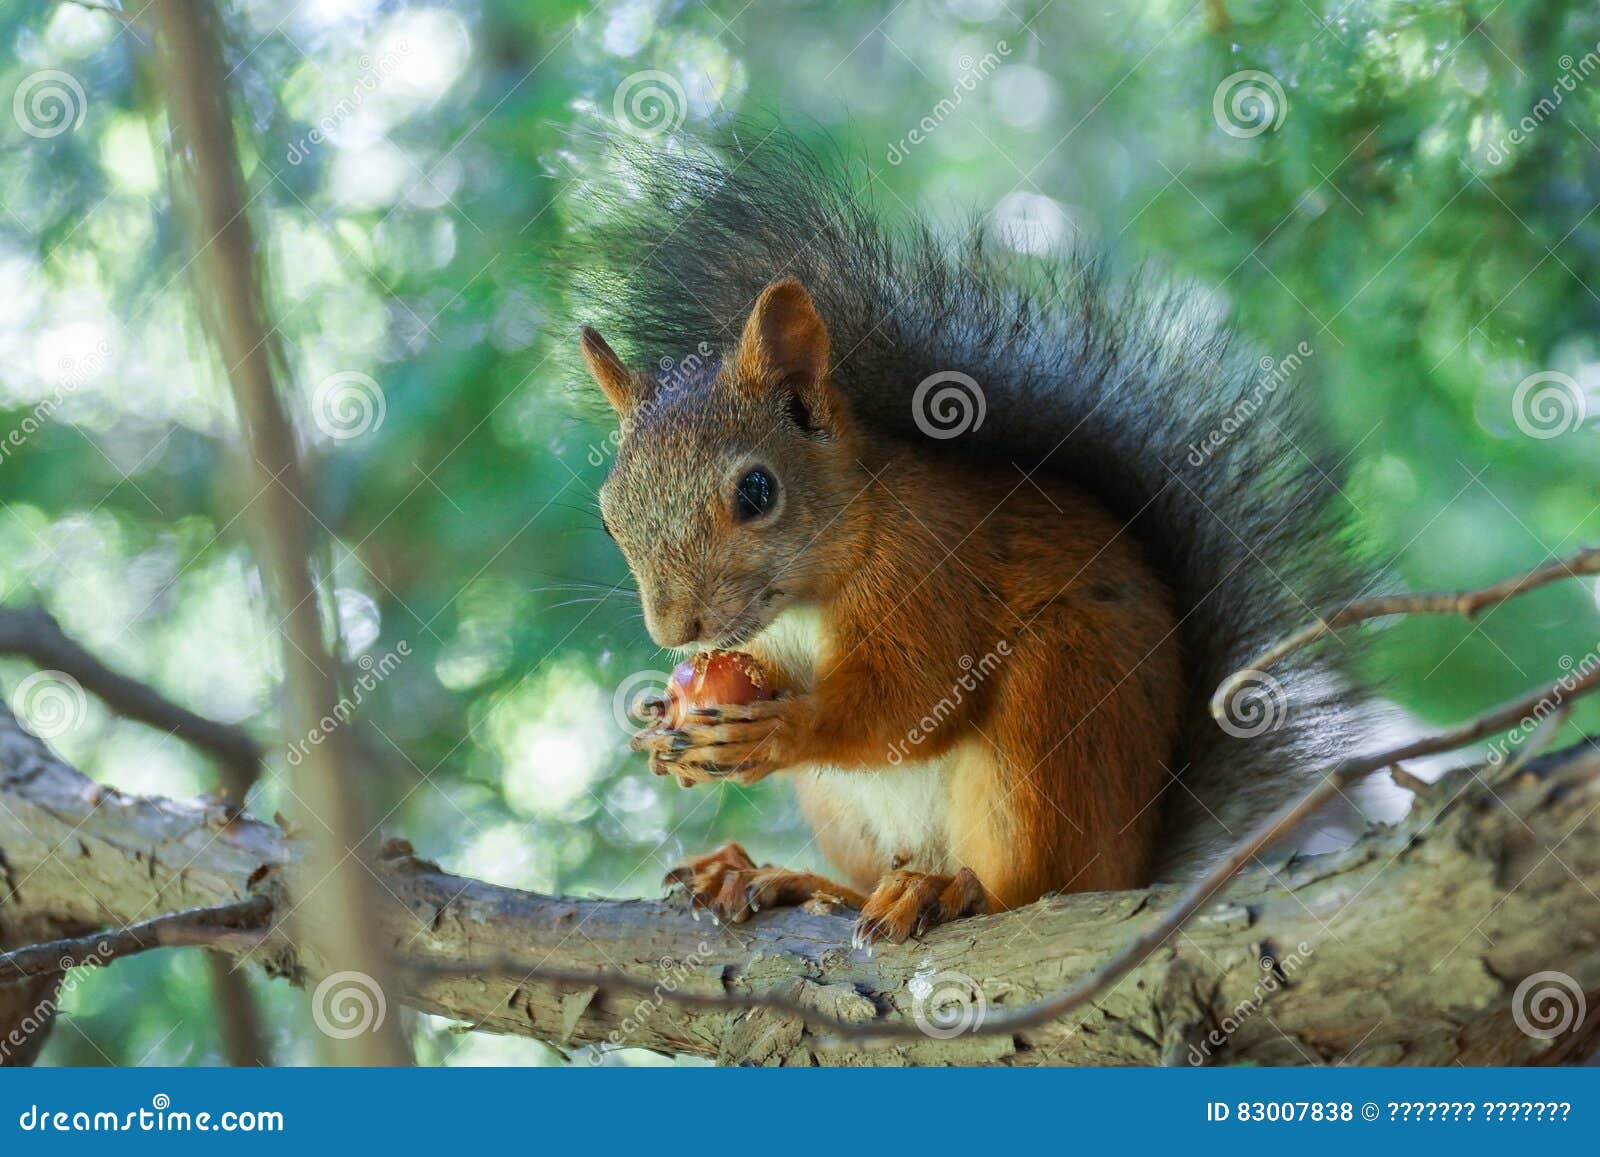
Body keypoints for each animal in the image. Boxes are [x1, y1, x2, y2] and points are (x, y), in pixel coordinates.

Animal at [567, 131, 1366, 947]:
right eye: (606, 514)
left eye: (757, 491)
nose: (675, 629)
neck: (812, 589)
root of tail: (1131, 866)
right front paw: (659, 724)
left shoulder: (930, 573)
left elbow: (907, 702)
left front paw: (783, 728)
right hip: (847, 811)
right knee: (869, 878)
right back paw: (788, 878)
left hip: (1054, 711)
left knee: (1028, 885)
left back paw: (948, 889)